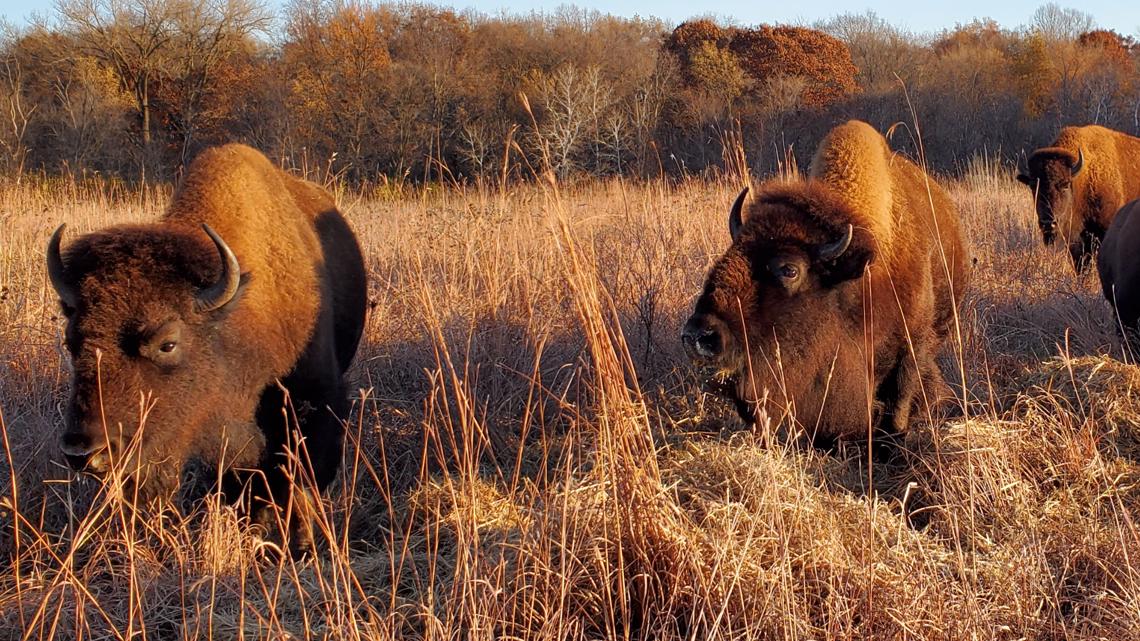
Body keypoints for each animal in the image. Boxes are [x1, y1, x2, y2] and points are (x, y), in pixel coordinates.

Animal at [47, 143, 367, 553]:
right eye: (72, 341)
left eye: (168, 343)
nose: (85, 452)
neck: (237, 319)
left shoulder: (317, 404)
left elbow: (299, 484)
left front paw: (301, 545)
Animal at [682, 120, 969, 446]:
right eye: (729, 254)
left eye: (789, 269)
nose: (699, 335)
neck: (862, 276)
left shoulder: (914, 344)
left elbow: (900, 399)